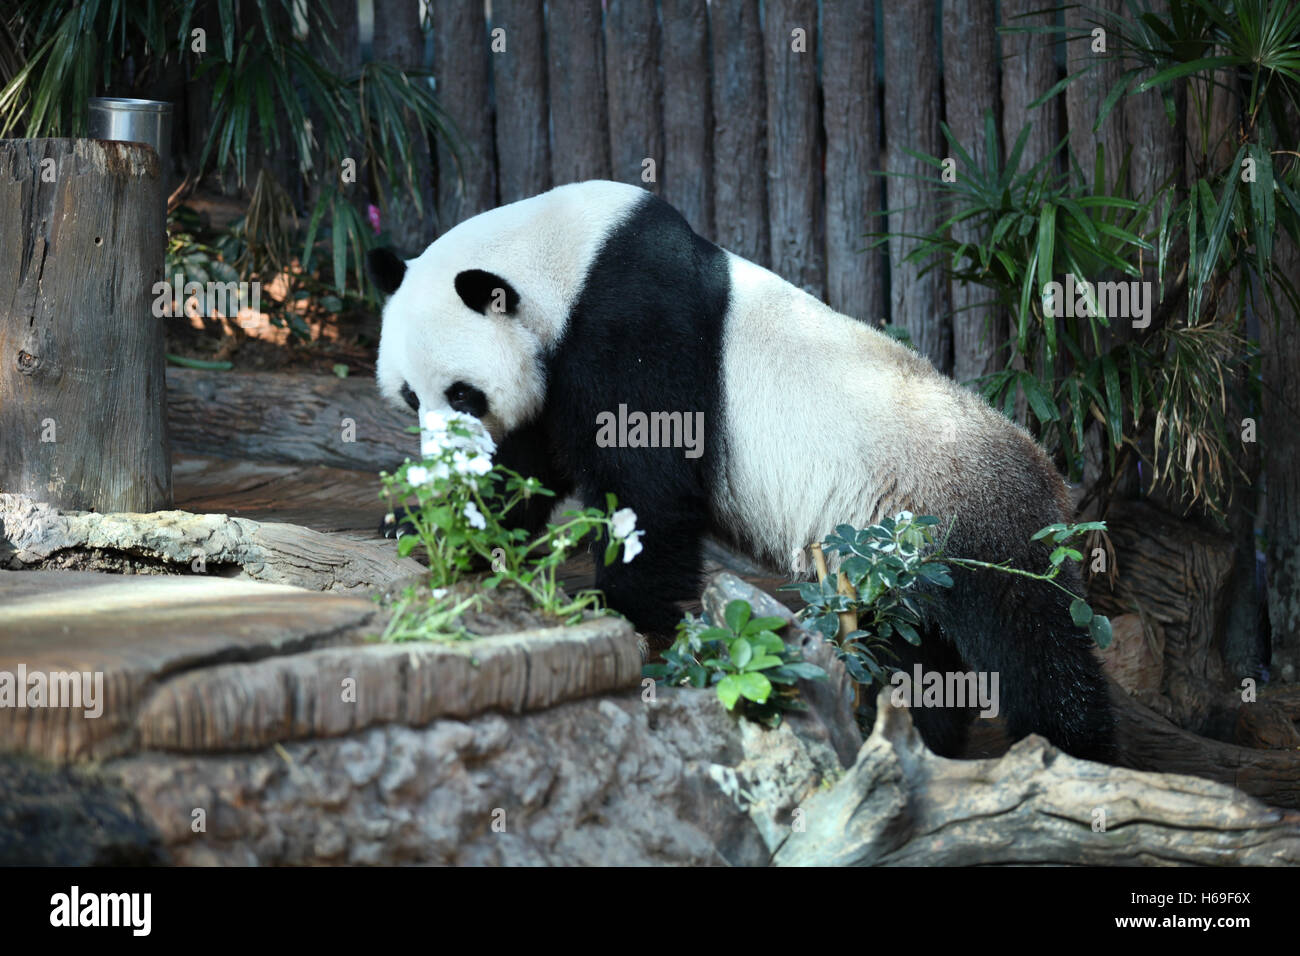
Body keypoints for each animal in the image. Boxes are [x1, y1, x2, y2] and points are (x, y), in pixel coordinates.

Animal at [369, 179, 1115, 763]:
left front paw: (627, 614)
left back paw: (1079, 748)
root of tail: (1053, 479)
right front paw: (426, 527)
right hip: (890, 560)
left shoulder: (629, 323)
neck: (563, 256)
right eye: (409, 396)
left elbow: (650, 485)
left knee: (1034, 641)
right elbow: (526, 468)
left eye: (463, 394)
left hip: (973, 515)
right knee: (913, 650)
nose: (440, 460)